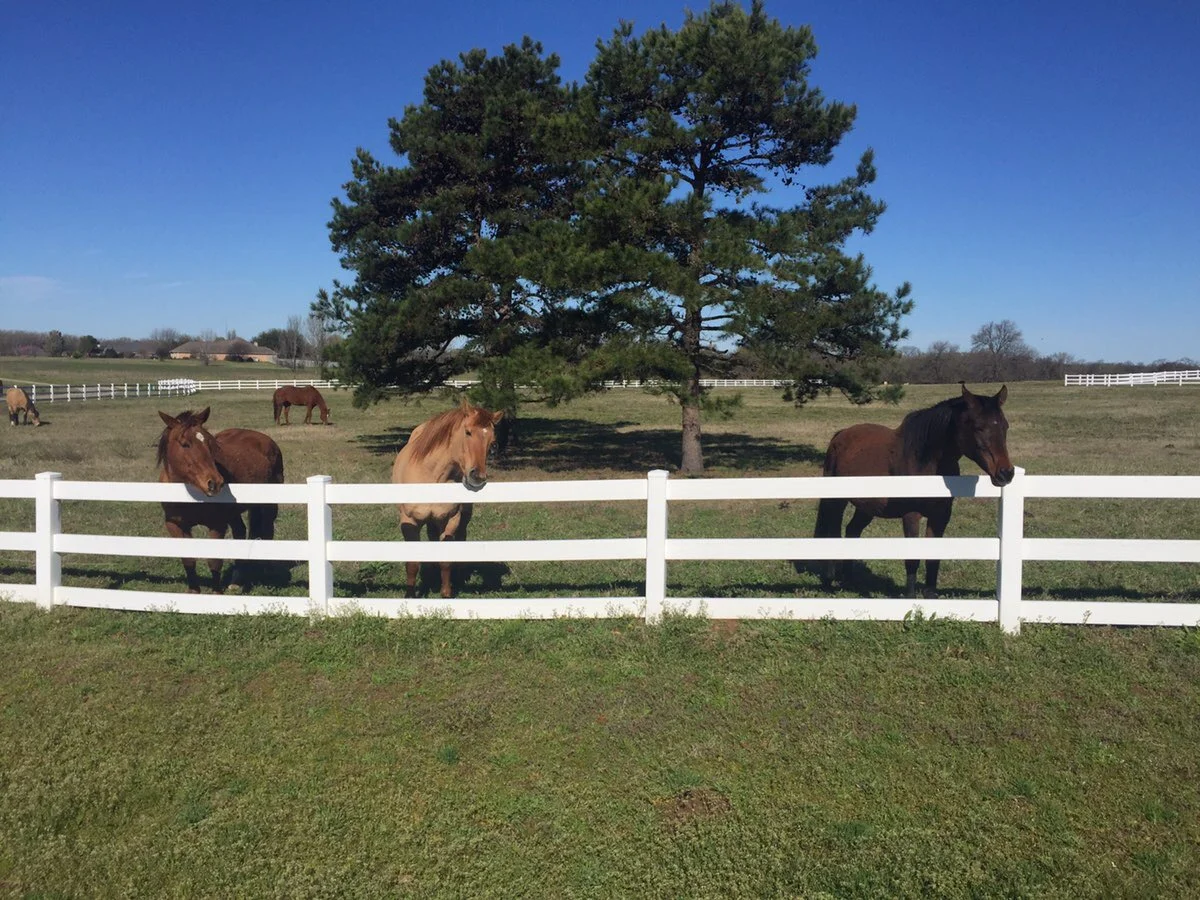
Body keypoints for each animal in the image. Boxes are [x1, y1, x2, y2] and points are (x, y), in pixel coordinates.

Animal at [157, 408, 285, 593]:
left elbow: (214, 561)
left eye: (210, 444)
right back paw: (236, 580)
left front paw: (216, 592)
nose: (215, 482)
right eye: (184, 444)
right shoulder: (175, 525)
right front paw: (193, 591)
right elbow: (188, 559)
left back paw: (268, 571)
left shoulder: (217, 524)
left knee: (267, 531)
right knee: (240, 532)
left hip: (268, 505)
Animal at [391, 399, 505, 598]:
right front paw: (410, 595)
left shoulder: (451, 519)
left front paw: (446, 594)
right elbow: (412, 564)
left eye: (492, 440)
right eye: (468, 432)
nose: (477, 477)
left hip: (462, 516)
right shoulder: (409, 521)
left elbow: (446, 559)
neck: (429, 475)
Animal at [804, 383, 1015, 599]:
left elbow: (933, 559)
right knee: (833, 532)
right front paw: (911, 598)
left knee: (852, 531)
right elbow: (912, 559)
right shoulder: (911, 515)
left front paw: (930, 596)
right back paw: (829, 580)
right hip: (836, 500)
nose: (1006, 473)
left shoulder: (941, 516)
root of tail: (841, 434)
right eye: (978, 427)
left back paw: (850, 581)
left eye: (1005, 426)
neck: (925, 460)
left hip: (866, 507)